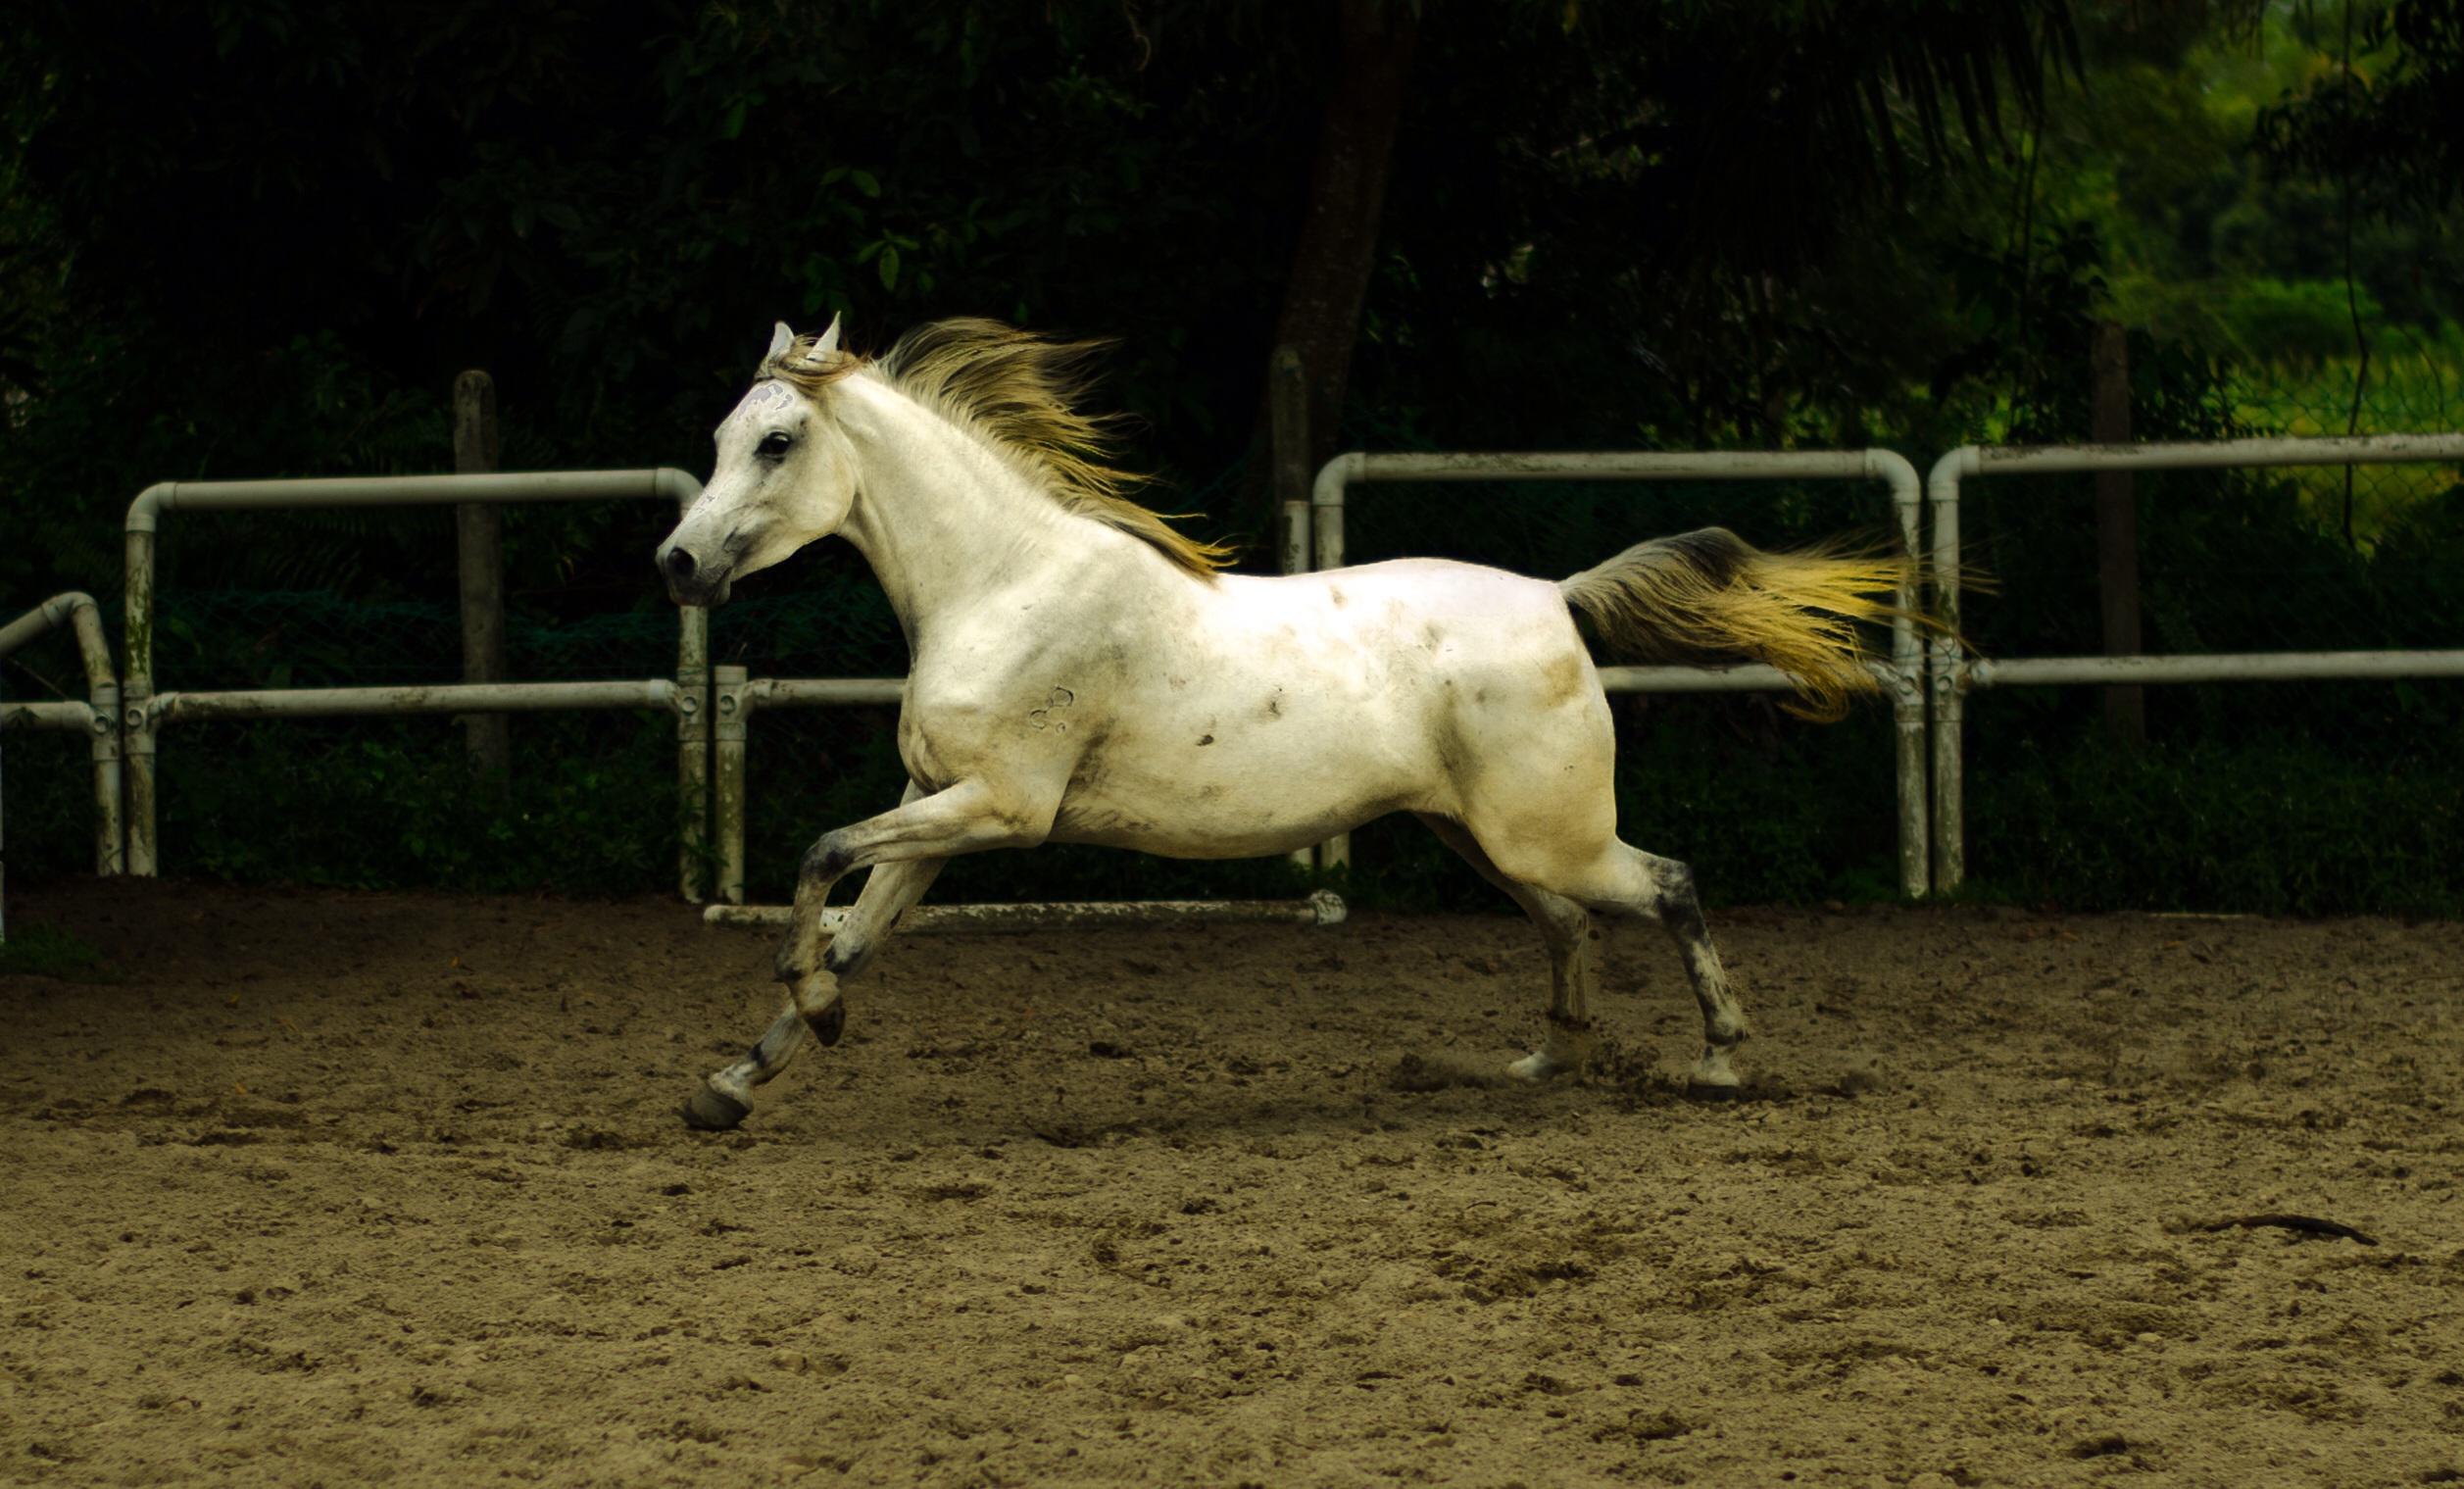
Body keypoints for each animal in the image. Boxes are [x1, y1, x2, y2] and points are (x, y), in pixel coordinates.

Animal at [655, 316, 1907, 1131]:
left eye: (776, 443)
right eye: (719, 438)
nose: (677, 563)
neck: (1005, 582)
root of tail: (1559, 596)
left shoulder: (999, 809)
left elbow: (819, 864)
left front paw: (803, 1021)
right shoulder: (935, 807)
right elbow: (851, 932)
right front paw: (733, 1083)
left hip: (1550, 832)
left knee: (1665, 885)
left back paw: (1720, 1065)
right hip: (1481, 834)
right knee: (1569, 924)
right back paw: (1541, 1061)